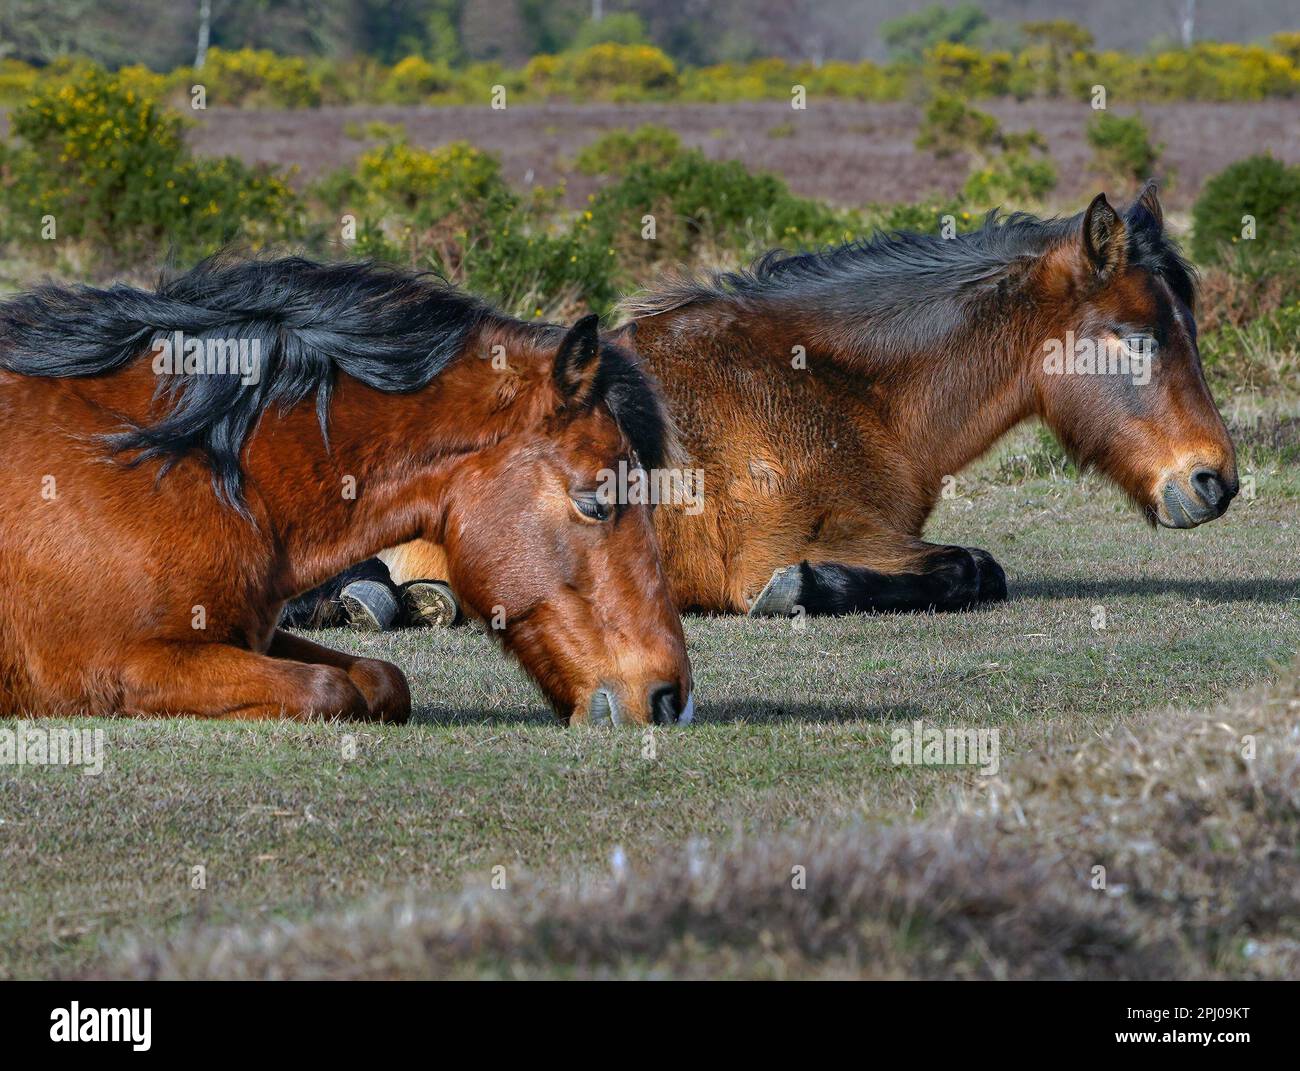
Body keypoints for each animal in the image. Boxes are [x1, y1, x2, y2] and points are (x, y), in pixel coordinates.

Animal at [0, 255, 694, 725]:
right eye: (595, 501)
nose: (670, 699)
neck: (164, 458)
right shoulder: (120, 666)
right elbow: (328, 689)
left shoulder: (245, 637)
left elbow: (380, 677)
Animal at [282, 184, 1240, 621]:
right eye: (1137, 336)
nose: (1215, 481)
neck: (835, 389)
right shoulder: (838, 539)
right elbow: (974, 567)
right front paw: (799, 589)